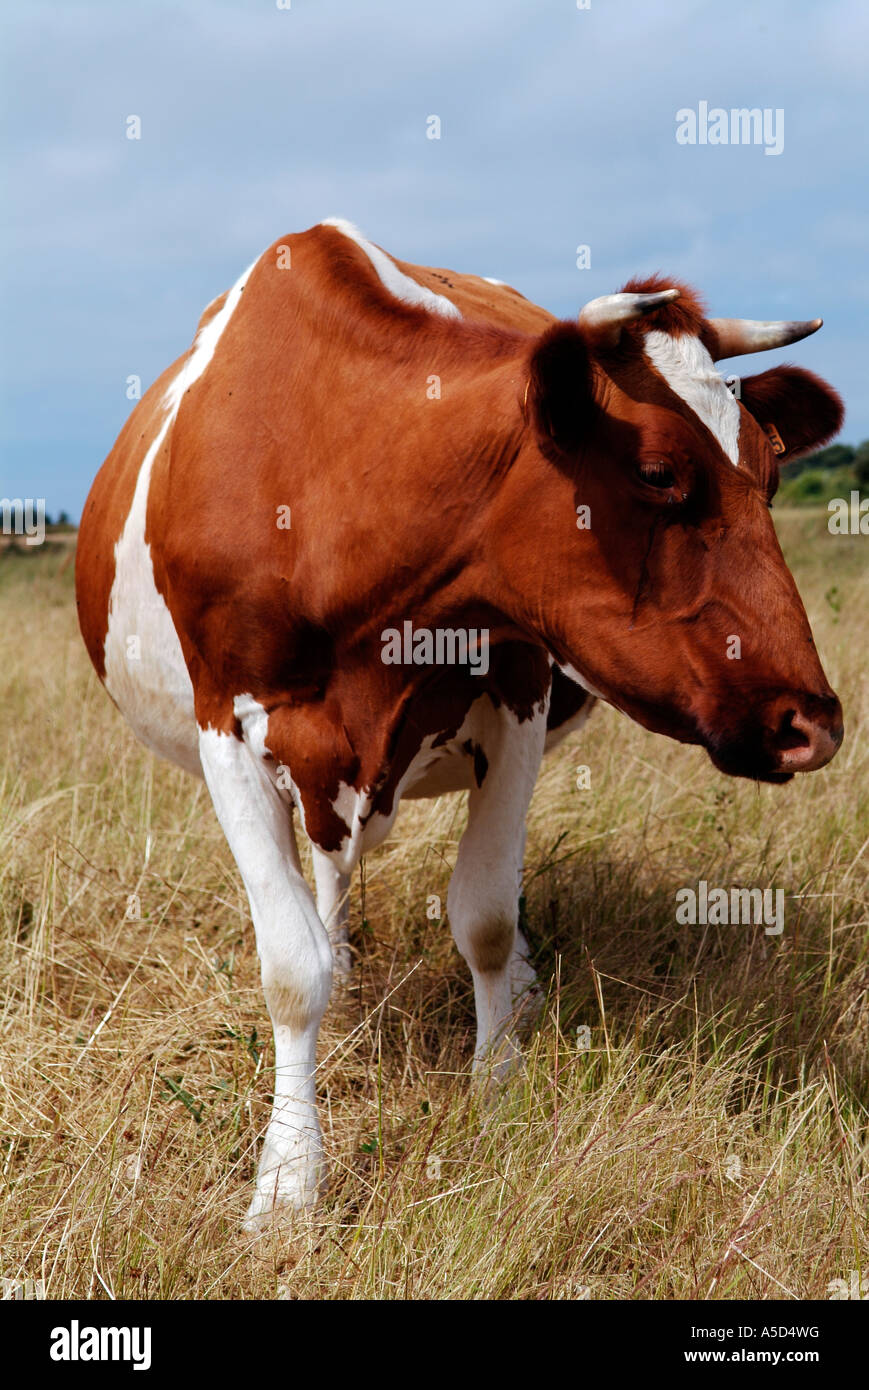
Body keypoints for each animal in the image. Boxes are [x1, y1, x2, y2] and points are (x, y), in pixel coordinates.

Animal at [76, 218, 844, 1226]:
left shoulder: (517, 699)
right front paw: (288, 1182)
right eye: (658, 473)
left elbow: (479, 915)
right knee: (325, 884)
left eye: (769, 472)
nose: (813, 722)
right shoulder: (226, 729)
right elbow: (290, 968)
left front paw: (498, 1087)